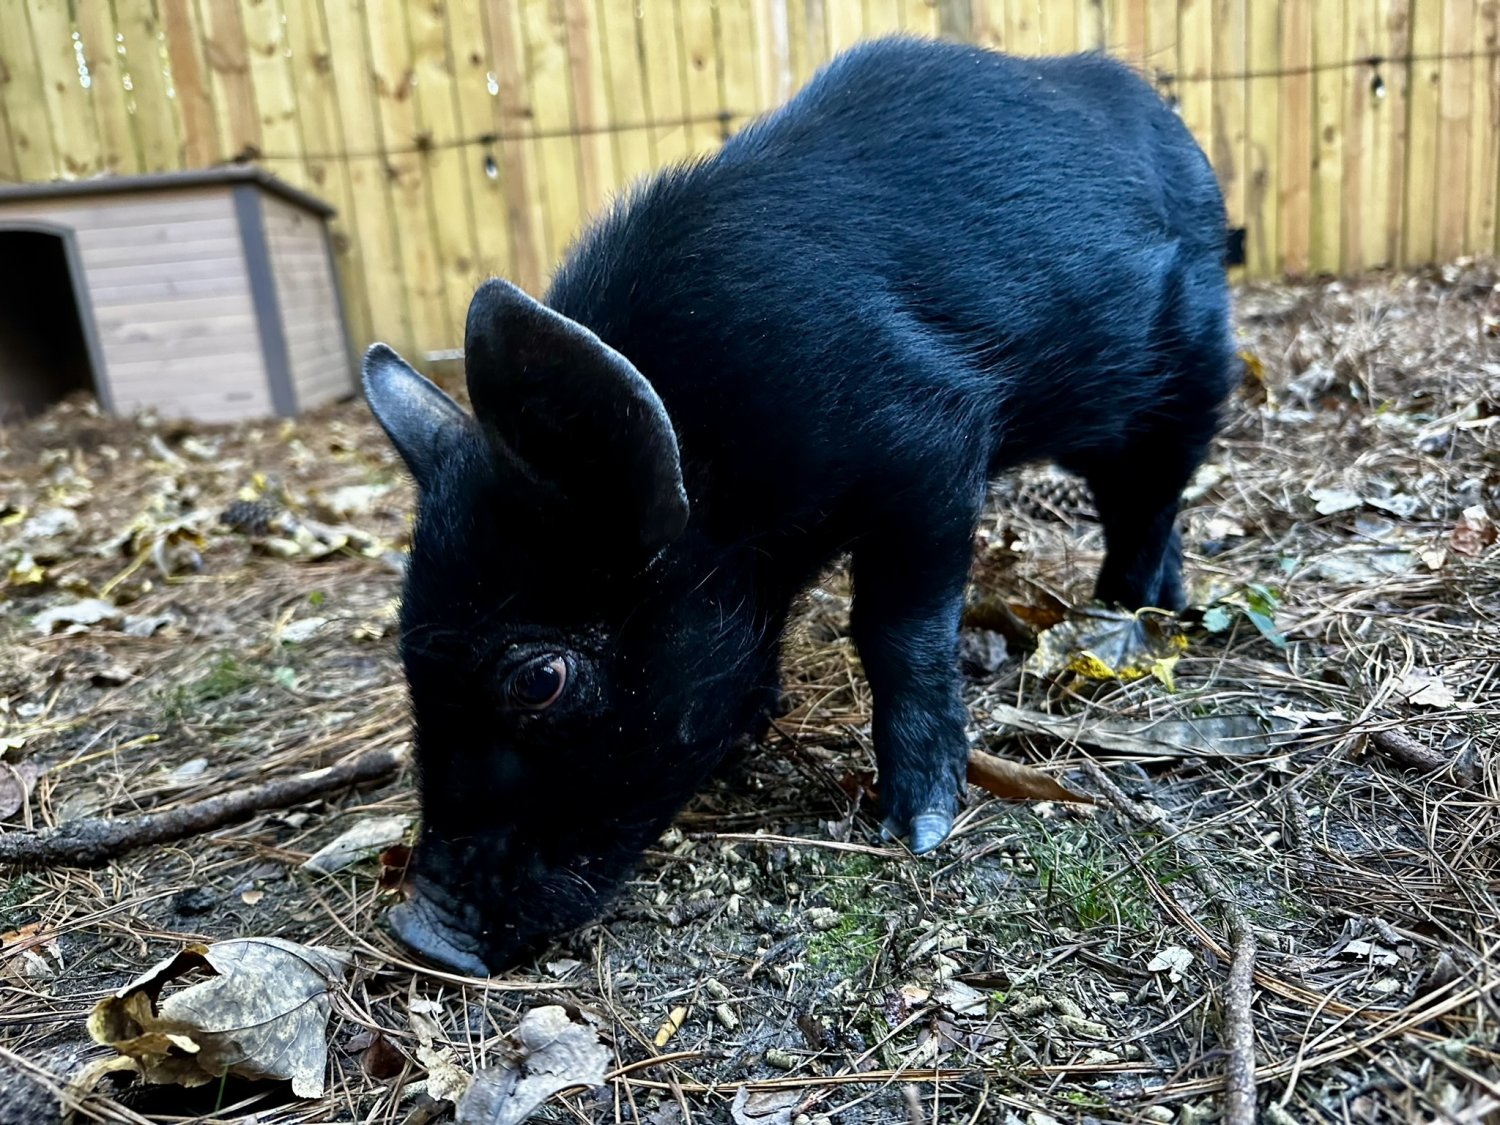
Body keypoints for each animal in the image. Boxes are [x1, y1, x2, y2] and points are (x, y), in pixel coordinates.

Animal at [362, 36, 1236, 975]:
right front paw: (757, 723)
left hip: (1184, 364)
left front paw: (915, 829)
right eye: (407, 660)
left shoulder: (928, 441)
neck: (726, 476)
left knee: (1149, 488)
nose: (419, 932)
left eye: (539, 679)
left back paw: (1127, 606)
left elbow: (896, 630)